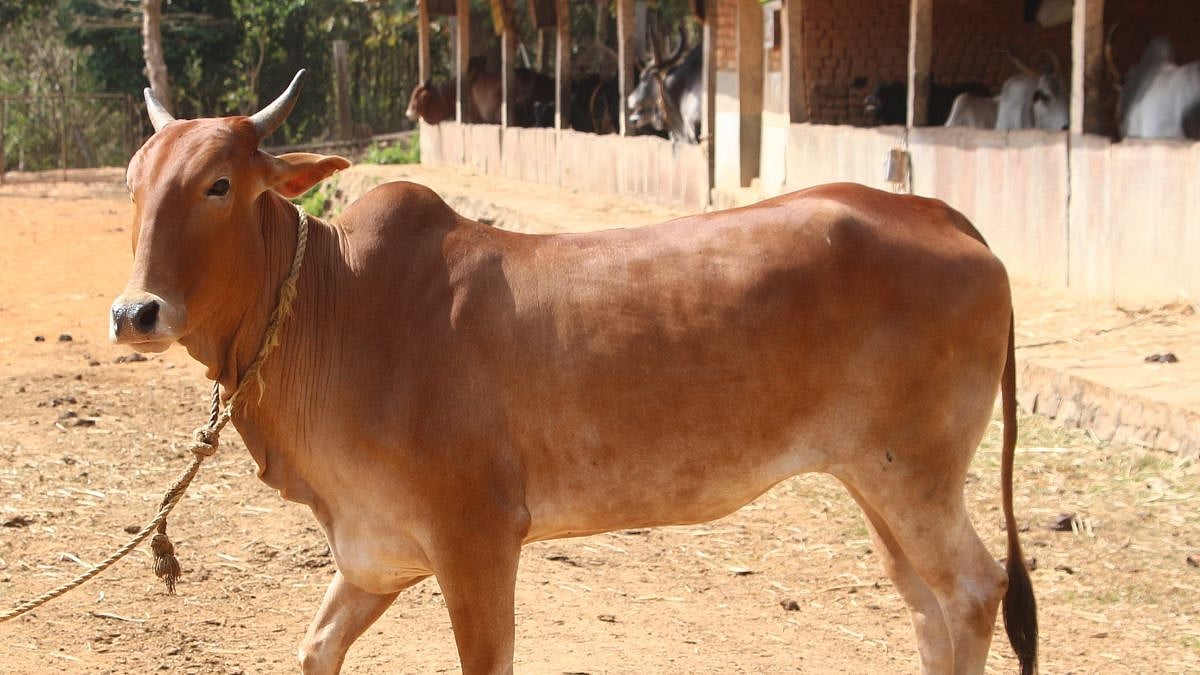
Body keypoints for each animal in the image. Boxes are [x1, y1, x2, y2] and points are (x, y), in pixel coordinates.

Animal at [111, 71, 1038, 675]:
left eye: (219, 184)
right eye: (132, 184)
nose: (134, 313)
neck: (332, 307)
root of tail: (936, 211)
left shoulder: (476, 540)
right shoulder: (374, 552)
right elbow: (315, 650)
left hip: (916, 476)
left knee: (971, 592)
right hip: (875, 482)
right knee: (926, 609)